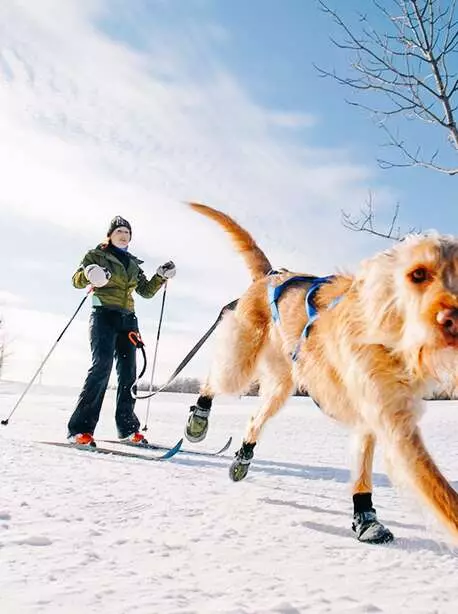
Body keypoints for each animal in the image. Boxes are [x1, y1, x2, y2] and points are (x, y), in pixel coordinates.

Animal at [183, 205, 458, 548]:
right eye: (418, 274)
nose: (452, 319)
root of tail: (270, 275)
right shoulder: (396, 425)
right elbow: (444, 496)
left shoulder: (375, 414)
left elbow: (362, 470)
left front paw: (366, 519)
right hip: (239, 363)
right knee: (213, 381)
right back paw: (198, 418)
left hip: (280, 387)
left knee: (255, 419)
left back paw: (242, 459)